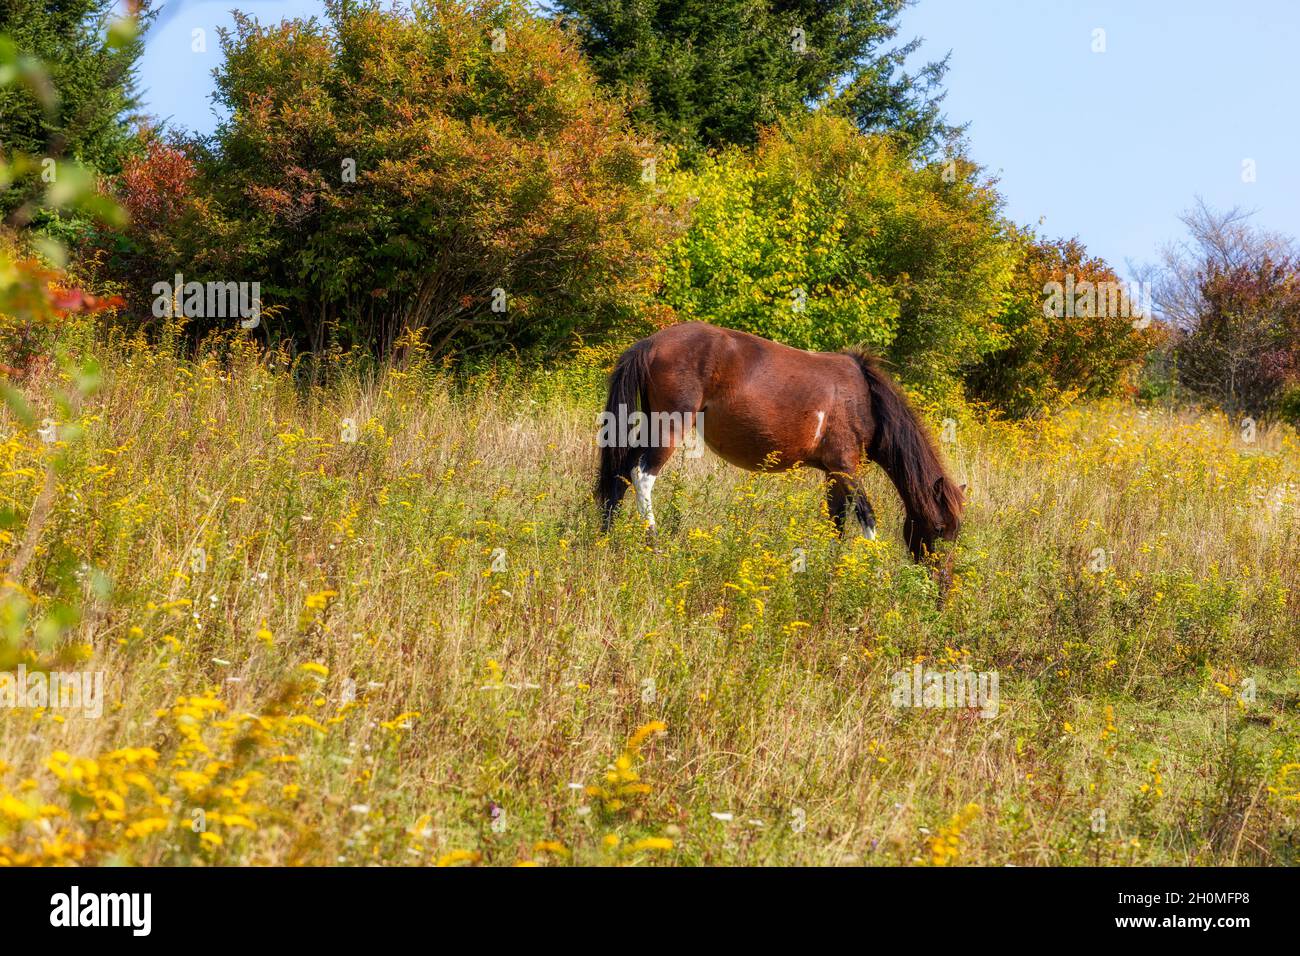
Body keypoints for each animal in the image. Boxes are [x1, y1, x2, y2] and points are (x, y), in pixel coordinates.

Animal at [595, 321, 965, 571]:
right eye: (939, 528)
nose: (940, 586)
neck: (864, 399)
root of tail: (650, 343)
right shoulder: (846, 468)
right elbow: (867, 517)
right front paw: (871, 574)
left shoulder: (832, 473)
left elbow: (837, 523)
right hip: (669, 429)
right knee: (641, 475)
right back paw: (654, 546)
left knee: (619, 474)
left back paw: (604, 538)